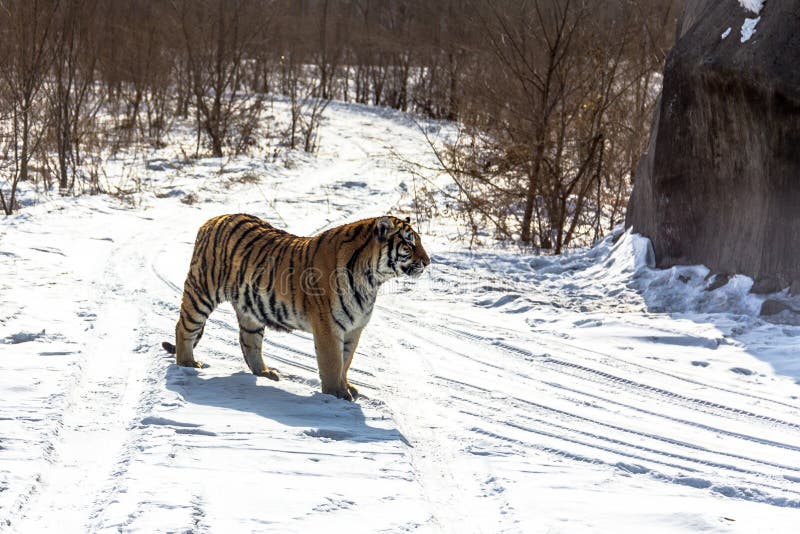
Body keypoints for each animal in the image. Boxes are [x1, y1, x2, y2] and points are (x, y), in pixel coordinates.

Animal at [162, 214, 430, 401]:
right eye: (409, 244)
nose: (428, 262)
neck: (372, 278)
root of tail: (212, 220)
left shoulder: (354, 328)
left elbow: (346, 361)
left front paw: (346, 387)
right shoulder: (328, 326)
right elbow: (332, 362)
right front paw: (337, 394)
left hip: (251, 311)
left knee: (249, 343)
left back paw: (265, 373)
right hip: (202, 291)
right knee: (183, 327)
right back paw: (187, 364)